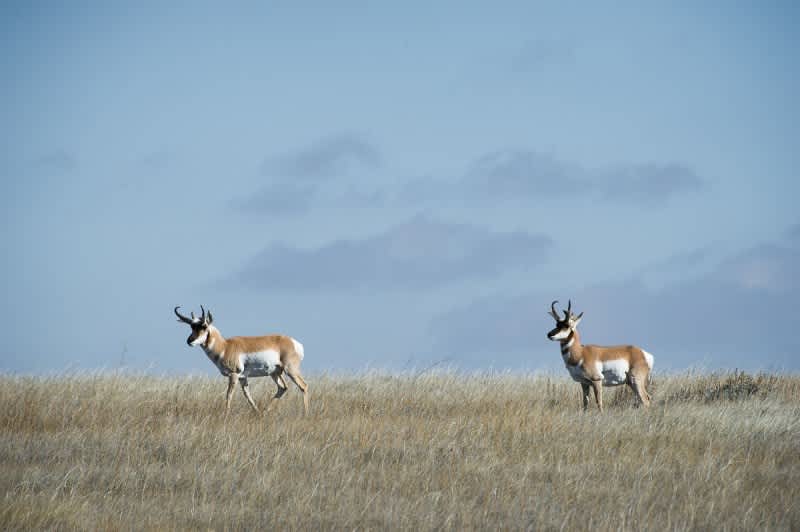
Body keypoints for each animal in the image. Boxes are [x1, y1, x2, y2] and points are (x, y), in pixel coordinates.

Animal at [175, 306, 309, 415]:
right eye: (191, 326)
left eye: (204, 326)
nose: (189, 341)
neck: (225, 346)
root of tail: (295, 343)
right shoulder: (243, 377)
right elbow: (247, 395)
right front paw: (256, 412)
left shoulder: (233, 375)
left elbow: (229, 394)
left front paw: (226, 415)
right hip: (275, 373)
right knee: (283, 388)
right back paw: (265, 411)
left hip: (290, 370)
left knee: (303, 386)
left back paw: (305, 414)